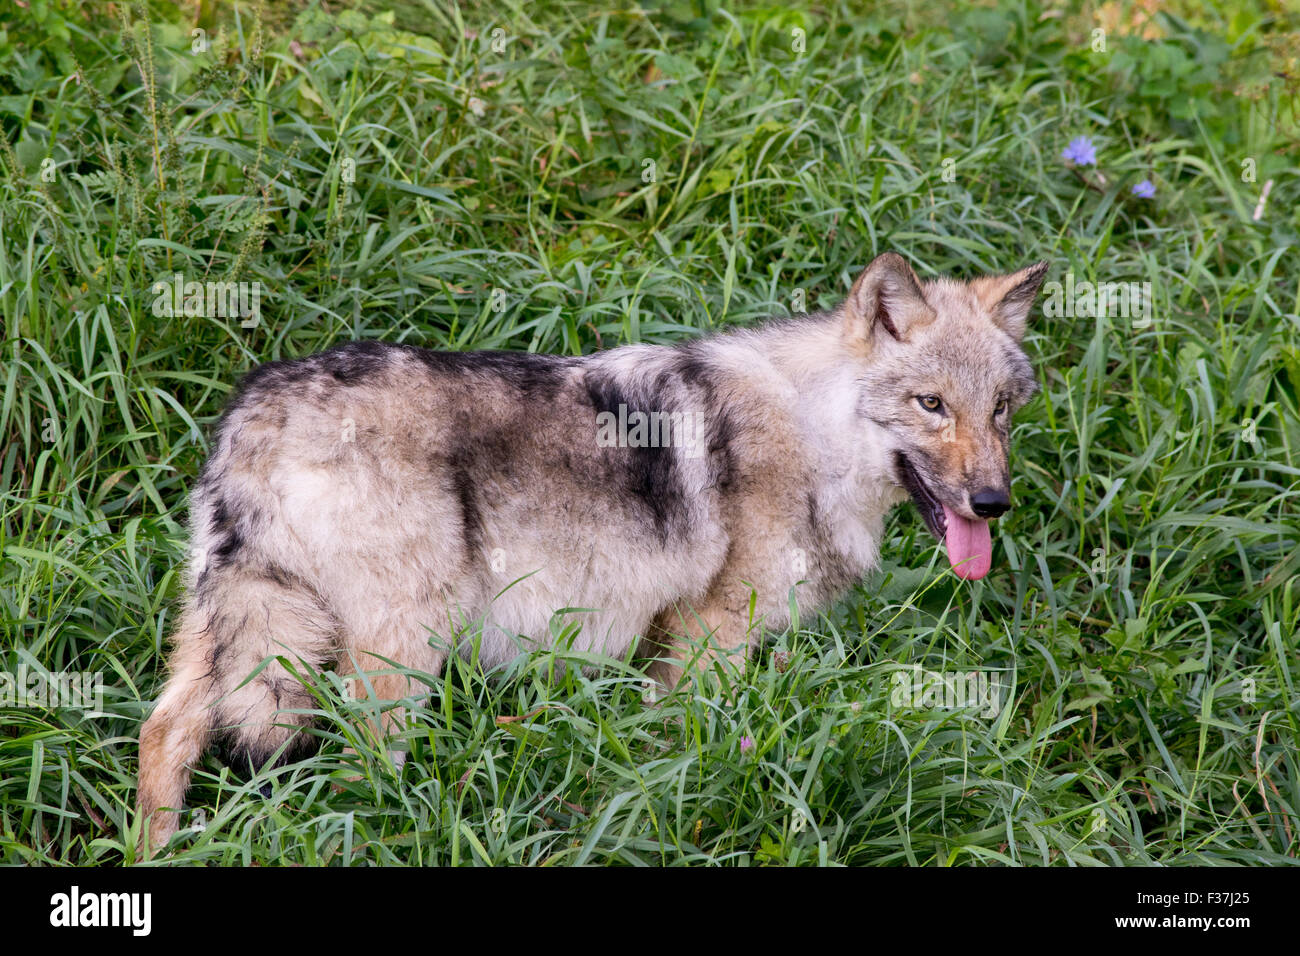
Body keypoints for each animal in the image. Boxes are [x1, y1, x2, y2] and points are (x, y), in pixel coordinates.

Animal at [137, 252, 1048, 853]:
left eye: (1001, 409)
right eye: (931, 405)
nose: (992, 503)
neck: (812, 431)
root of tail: (257, 407)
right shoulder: (711, 637)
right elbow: (691, 755)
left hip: (235, 634)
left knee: (164, 730)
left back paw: (158, 850)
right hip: (396, 656)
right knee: (353, 773)